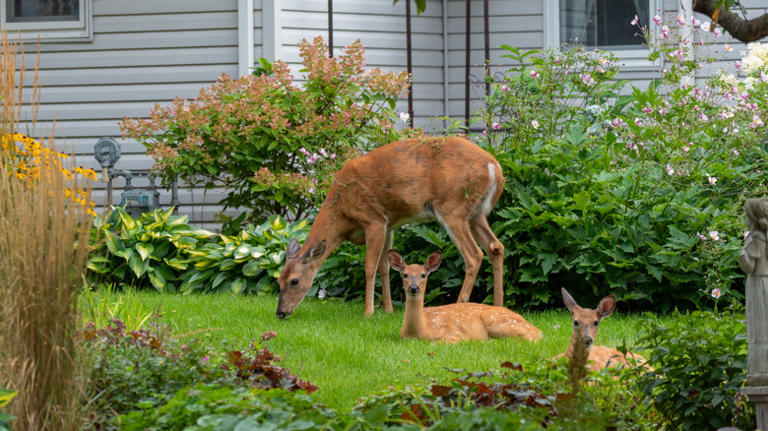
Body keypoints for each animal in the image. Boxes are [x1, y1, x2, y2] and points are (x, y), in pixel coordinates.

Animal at [276, 136, 506, 318]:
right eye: (279, 280)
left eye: (294, 281)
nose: (280, 313)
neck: (341, 212)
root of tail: (494, 166)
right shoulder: (389, 225)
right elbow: (384, 266)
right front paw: (388, 310)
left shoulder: (373, 219)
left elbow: (370, 266)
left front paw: (368, 312)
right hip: (476, 213)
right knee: (495, 247)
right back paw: (499, 307)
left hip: (453, 207)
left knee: (474, 254)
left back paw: (460, 306)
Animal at [388, 249, 542, 343]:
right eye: (405, 275)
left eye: (423, 275)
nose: (414, 288)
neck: (420, 331)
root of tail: (538, 330)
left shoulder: (454, 334)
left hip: (504, 325)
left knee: (528, 338)